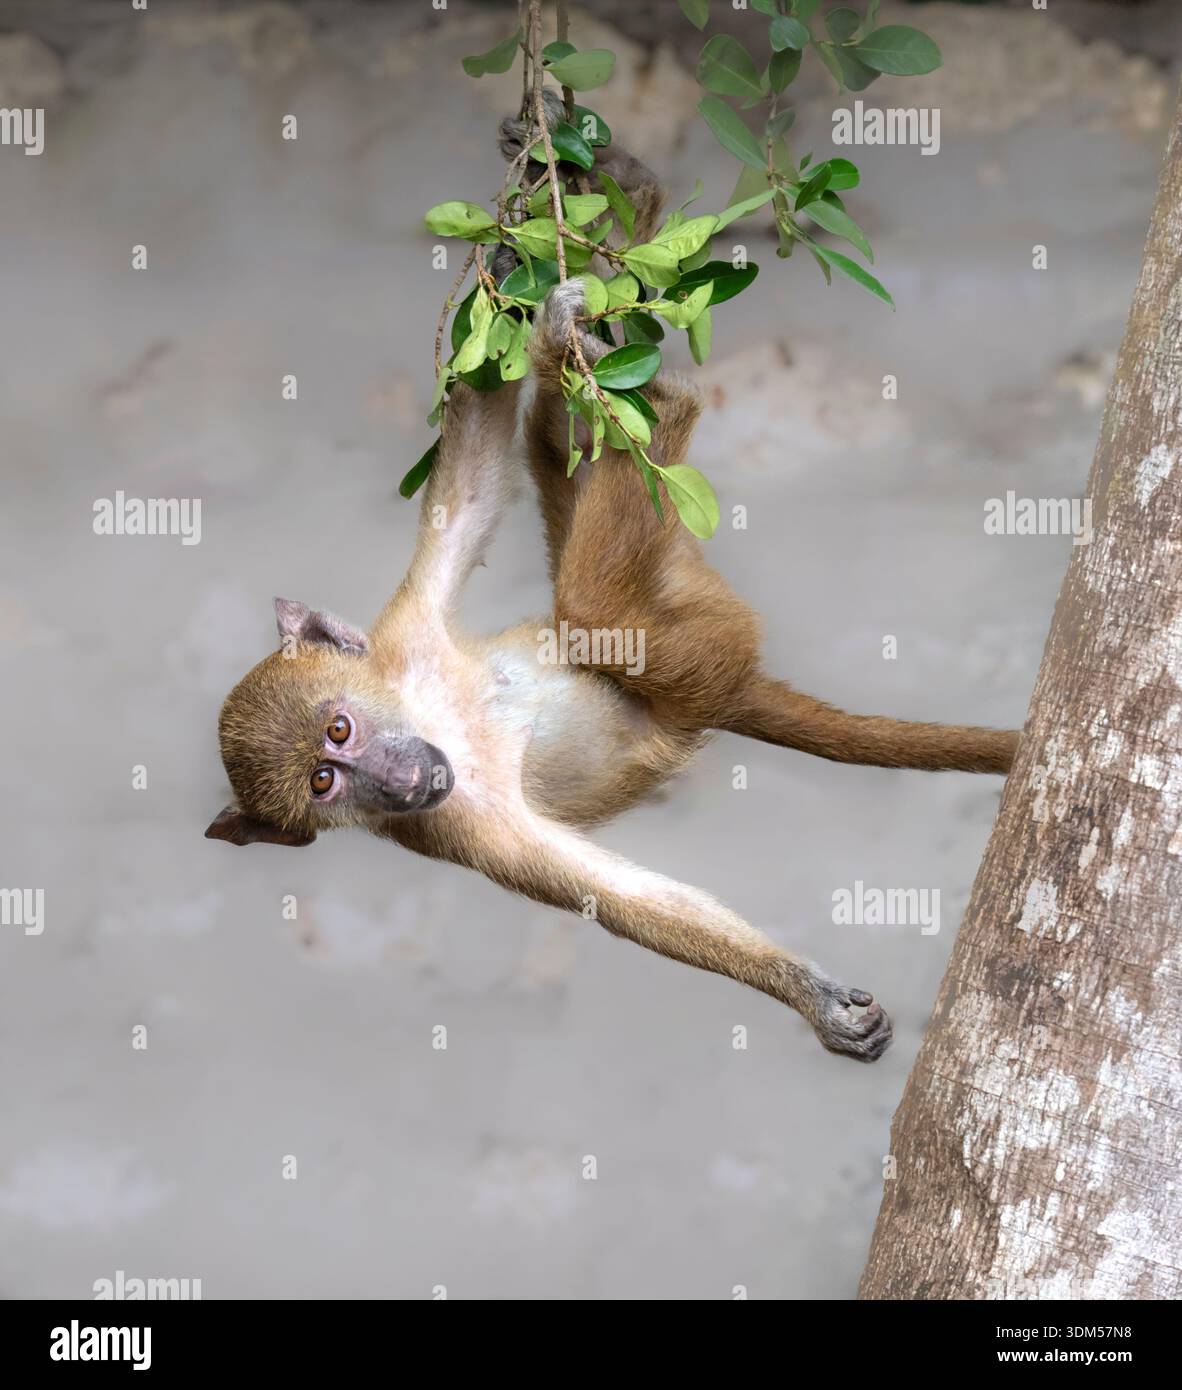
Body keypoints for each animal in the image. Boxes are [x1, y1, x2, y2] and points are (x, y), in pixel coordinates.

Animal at [205, 100, 1019, 1063]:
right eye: (324, 785)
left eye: (339, 730)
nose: (400, 782)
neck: (439, 723)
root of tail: (736, 689)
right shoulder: (456, 825)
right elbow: (617, 896)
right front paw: (808, 994)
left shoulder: (404, 635)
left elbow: (471, 477)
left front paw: (511, 245)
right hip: (698, 612)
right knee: (596, 606)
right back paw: (641, 383)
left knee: (566, 455)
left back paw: (604, 236)